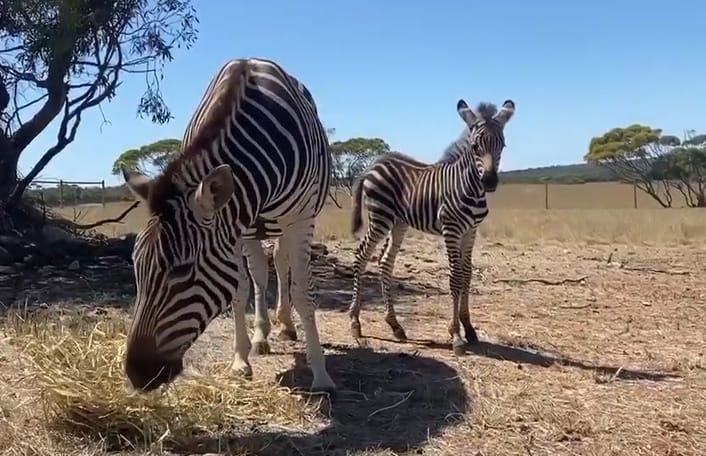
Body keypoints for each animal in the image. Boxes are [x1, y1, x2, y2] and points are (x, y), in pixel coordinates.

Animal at [120, 57, 336, 393]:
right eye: (136, 265)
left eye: (182, 270)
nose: (137, 375)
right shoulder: (235, 226)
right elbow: (239, 289)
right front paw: (240, 360)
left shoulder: (301, 219)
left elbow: (304, 294)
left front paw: (321, 375)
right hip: (255, 230)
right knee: (261, 271)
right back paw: (261, 335)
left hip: (288, 222)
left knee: (282, 262)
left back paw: (286, 325)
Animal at [347, 98, 515, 356]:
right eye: (475, 146)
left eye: (502, 145)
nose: (489, 182)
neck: (470, 187)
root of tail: (374, 164)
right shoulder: (451, 229)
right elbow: (455, 276)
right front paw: (456, 335)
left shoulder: (471, 231)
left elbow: (467, 274)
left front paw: (469, 328)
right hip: (380, 217)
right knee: (361, 255)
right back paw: (355, 322)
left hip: (398, 222)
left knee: (385, 262)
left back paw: (395, 325)